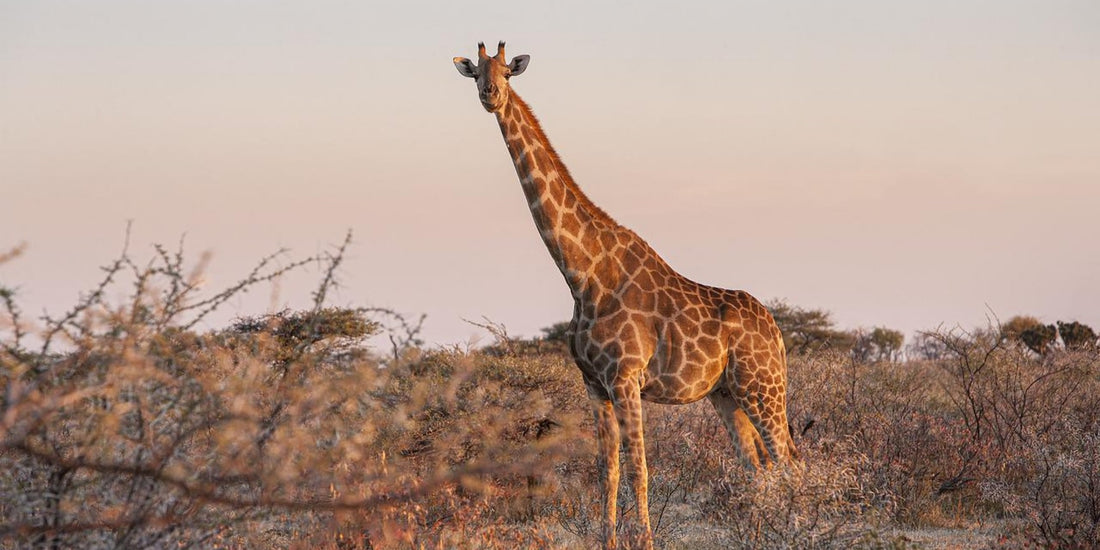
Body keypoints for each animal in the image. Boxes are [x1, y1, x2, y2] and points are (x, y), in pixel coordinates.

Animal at [453, 42, 799, 548]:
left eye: (507, 72)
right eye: (476, 72)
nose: (491, 95)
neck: (582, 274)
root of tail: (776, 332)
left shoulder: (626, 378)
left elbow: (639, 469)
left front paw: (645, 540)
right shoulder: (594, 384)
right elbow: (607, 471)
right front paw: (607, 539)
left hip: (763, 387)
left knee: (789, 462)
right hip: (726, 393)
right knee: (756, 465)